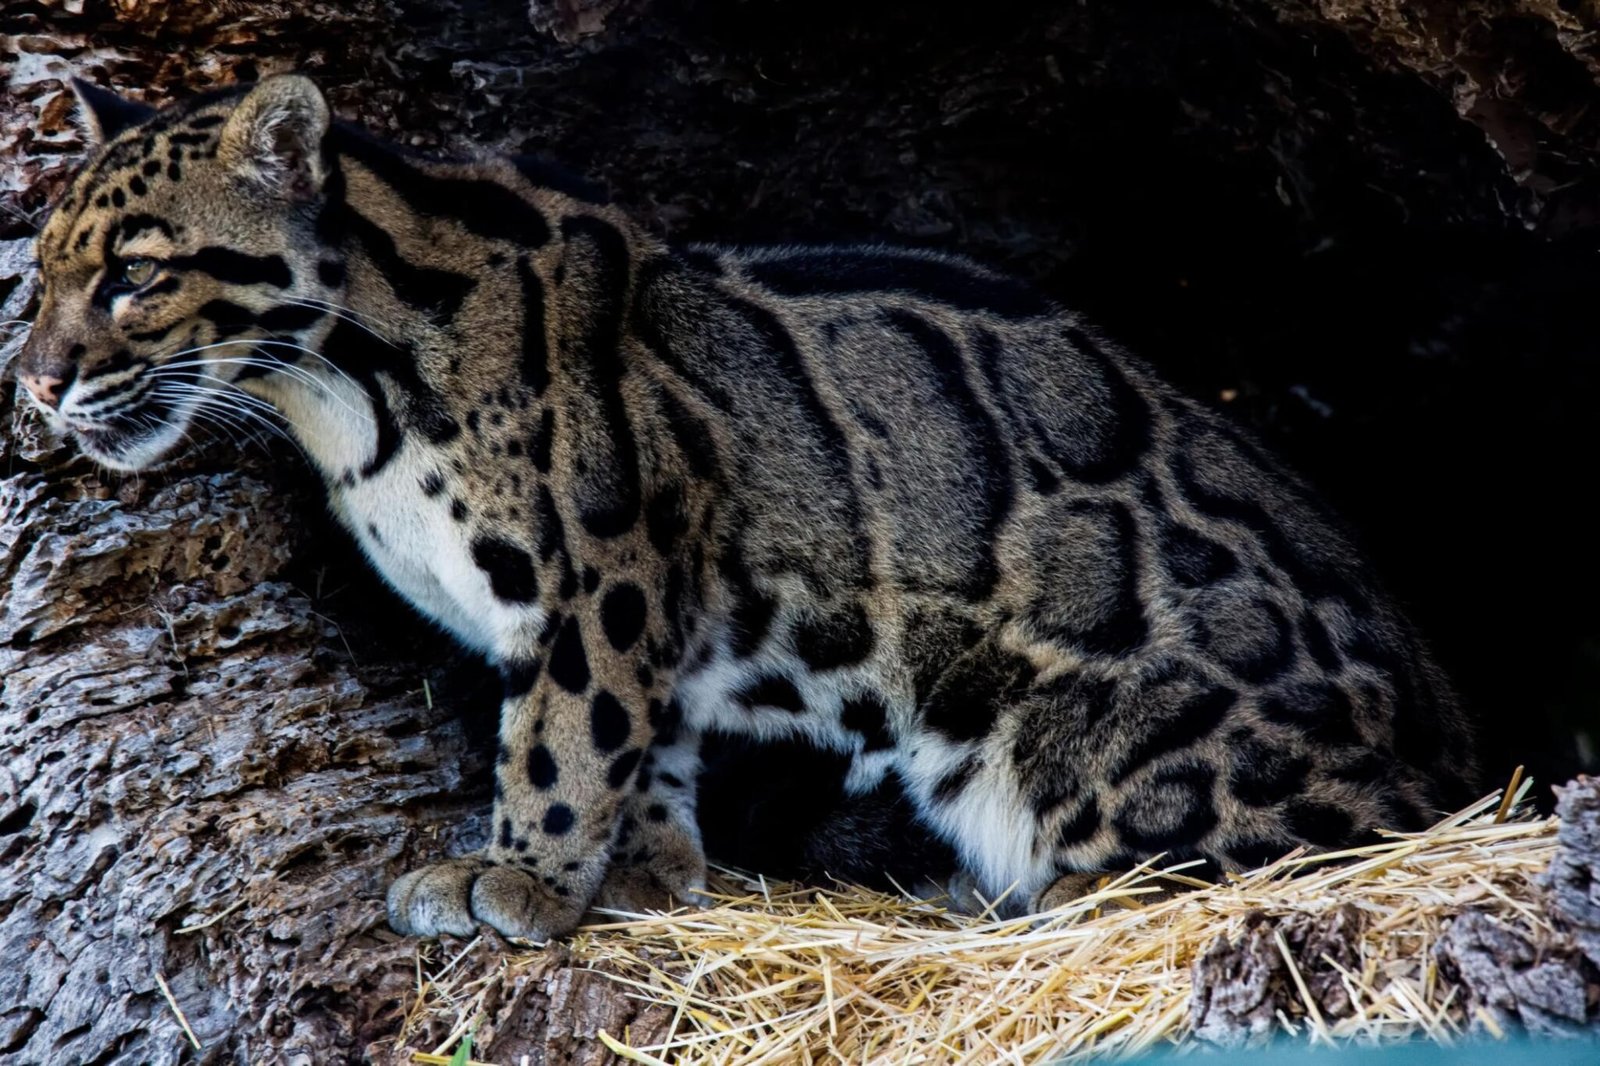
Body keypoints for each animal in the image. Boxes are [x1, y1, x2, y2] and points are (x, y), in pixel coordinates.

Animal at [14, 74, 1478, 939]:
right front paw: (648, 866)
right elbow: (646, 738)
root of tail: (1459, 743)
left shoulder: (606, 558)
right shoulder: (656, 603)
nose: (34, 378)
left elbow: (565, 734)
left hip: (1096, 750)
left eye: (135, 274)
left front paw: (526, 875)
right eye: (43, 270)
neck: (348, 387)